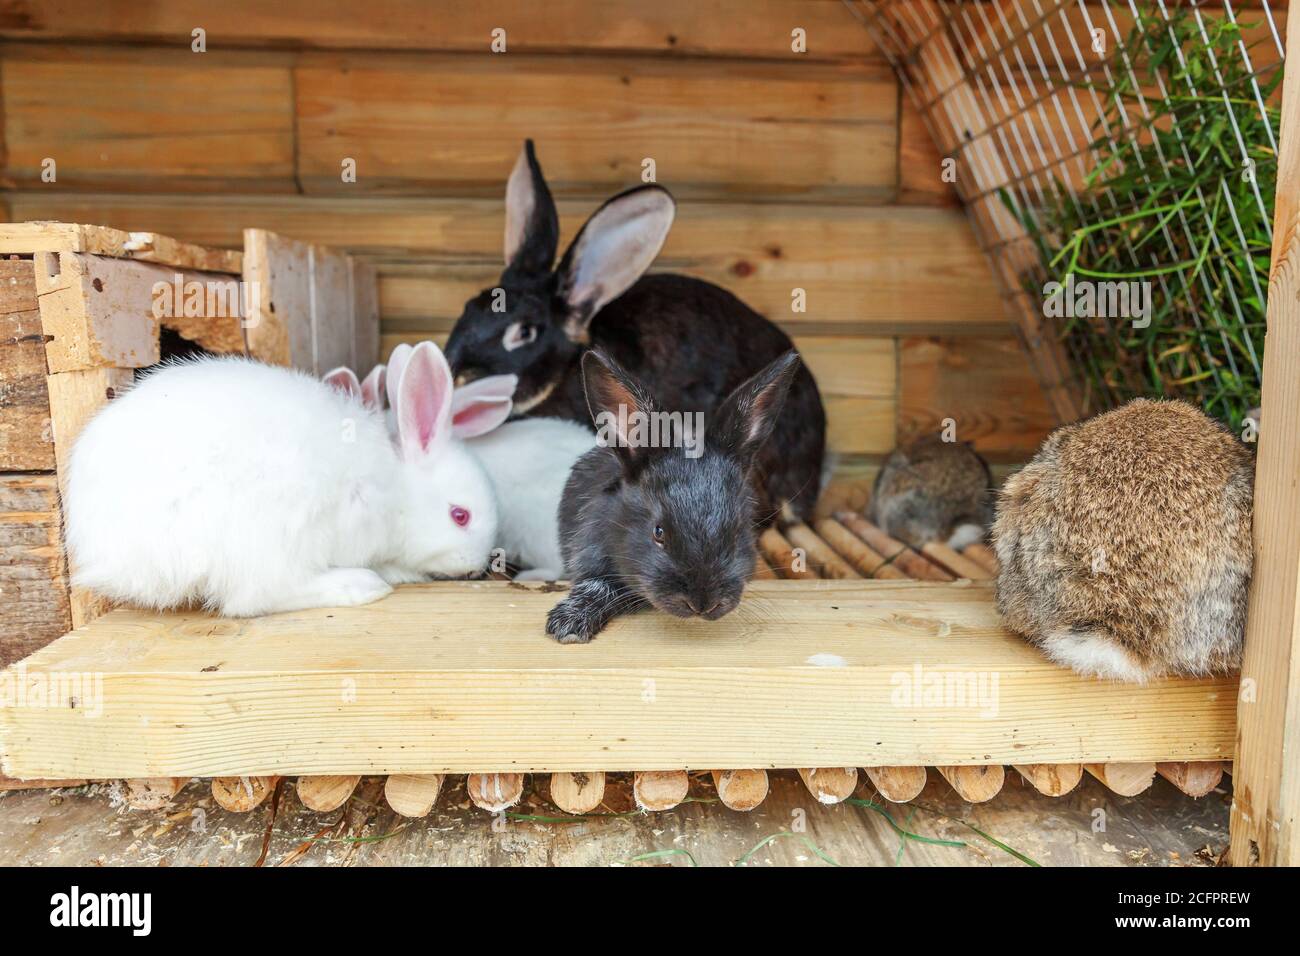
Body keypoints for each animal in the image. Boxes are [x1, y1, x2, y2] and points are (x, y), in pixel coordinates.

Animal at [64, 342, 499, 618]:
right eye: (460, 516)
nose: (478, 566)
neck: (396, 489)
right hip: (268, 535)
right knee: (253, 599)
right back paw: (359, 586)